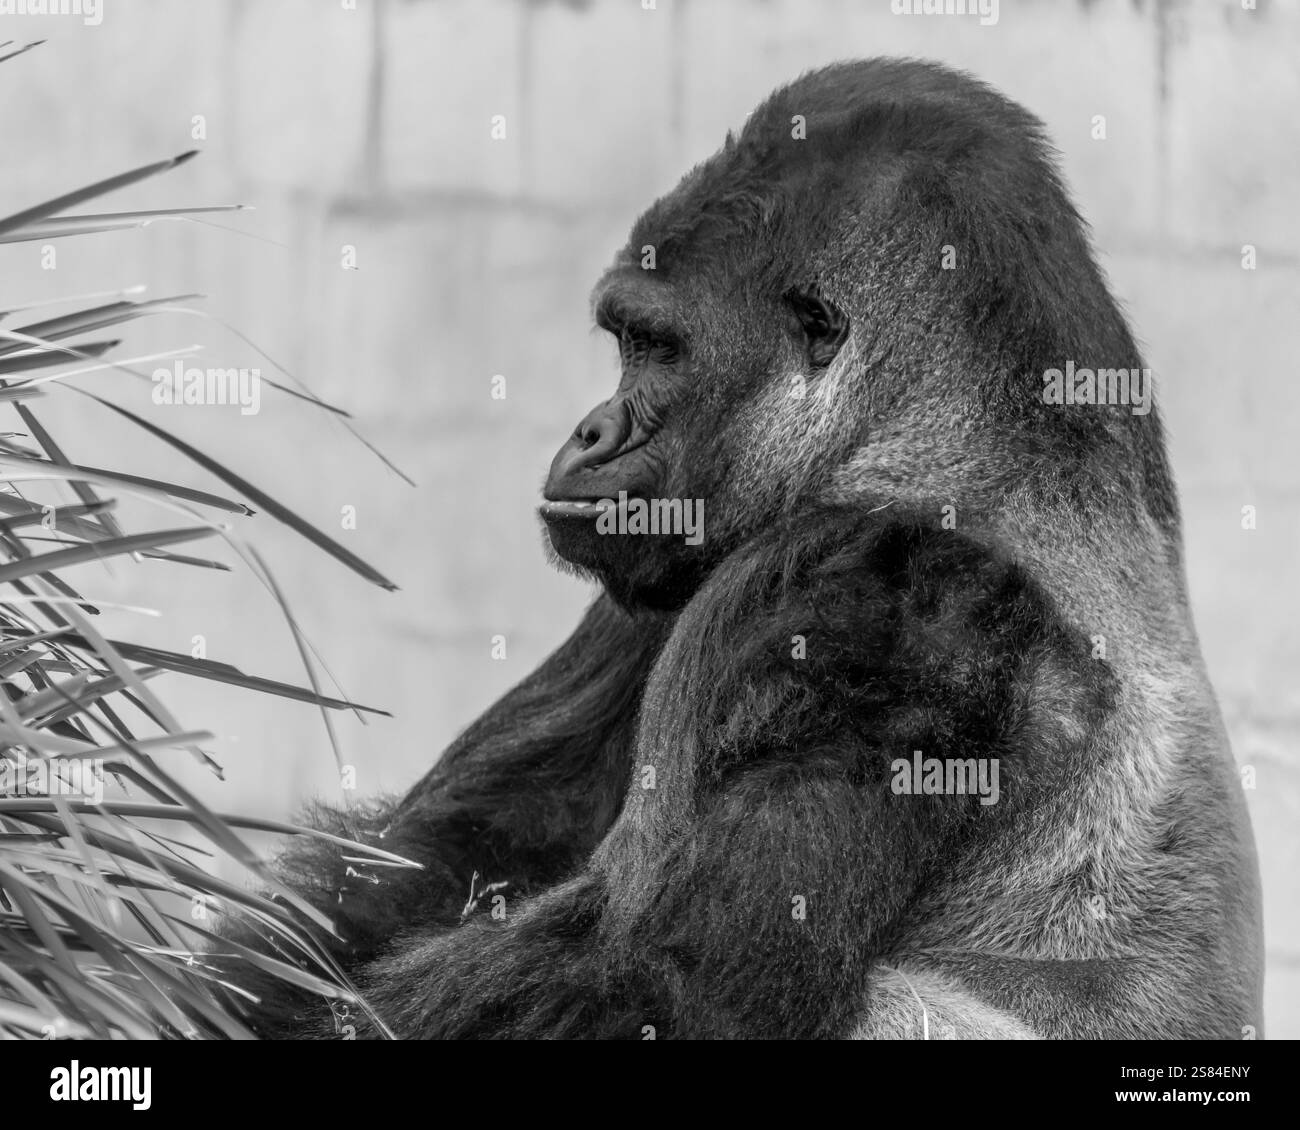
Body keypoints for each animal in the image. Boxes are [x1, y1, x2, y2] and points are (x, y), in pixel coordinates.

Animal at [224, 57, 1264, 1040]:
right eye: (623, 340)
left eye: (655, 346)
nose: (589, 433)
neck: (965, 438)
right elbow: (459, 845)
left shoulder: (892, 593)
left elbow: (655, 986)